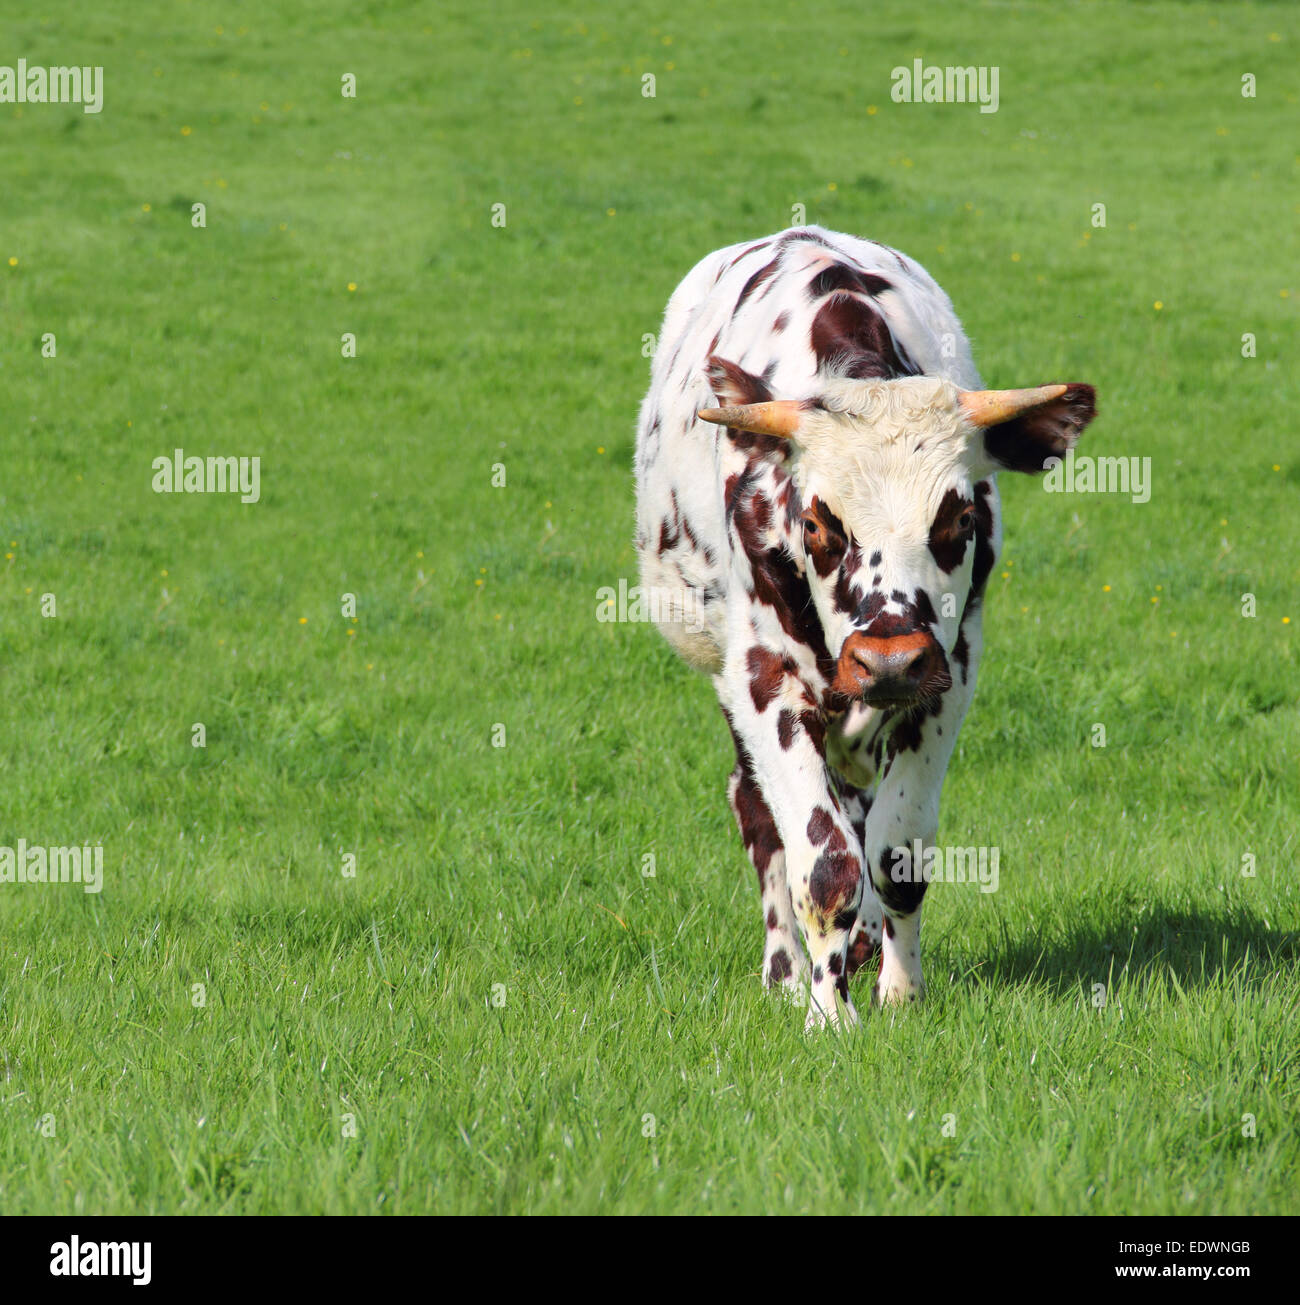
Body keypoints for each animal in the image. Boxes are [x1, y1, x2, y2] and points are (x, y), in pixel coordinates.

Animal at [634, 226, 1096, 1029]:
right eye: (819, 523)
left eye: (960, 518)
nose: (887, 661)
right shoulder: (763, 678)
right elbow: (824, 862)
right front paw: (827, 1013)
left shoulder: (948, 673)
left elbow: (896, 854)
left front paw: (899, 991)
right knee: (759, 813)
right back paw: (789, 973)